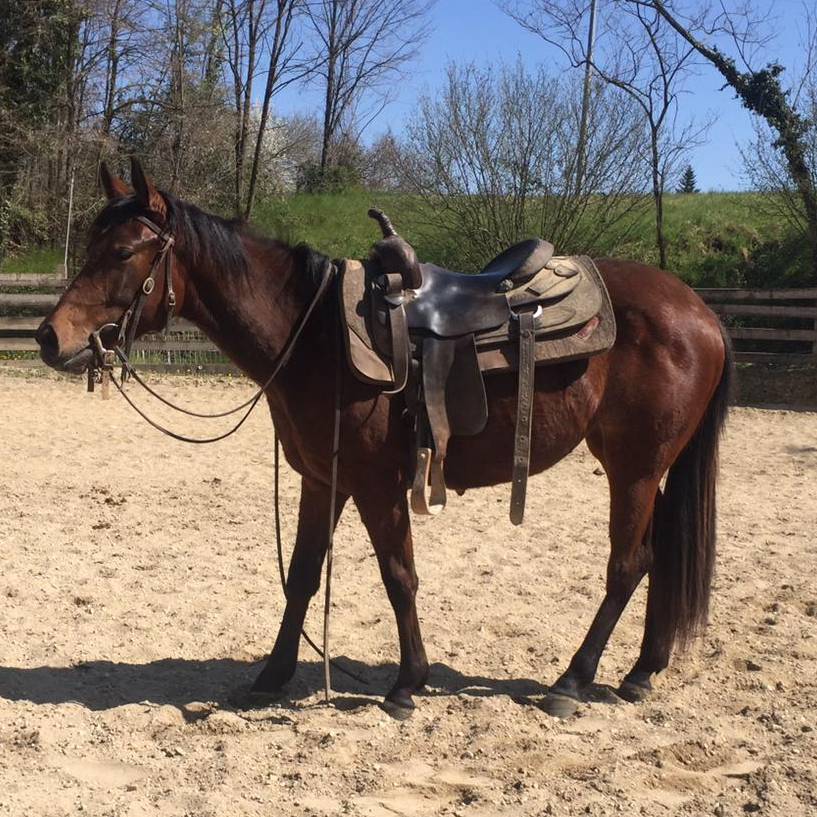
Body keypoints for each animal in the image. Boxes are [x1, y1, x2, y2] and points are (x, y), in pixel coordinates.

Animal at [37, 159, 732, 719]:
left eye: (122, 253)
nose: (48, 337)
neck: (312, 332)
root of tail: (701, 312)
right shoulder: (323, 479)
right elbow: (302, 576)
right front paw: (271, 676)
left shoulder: (377, 483)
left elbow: (399, 574)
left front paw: (406, 684)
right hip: (648, 469)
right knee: (658, 559)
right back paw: (641, 672)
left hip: (634, 468)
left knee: (626, 565)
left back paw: (572, 681)